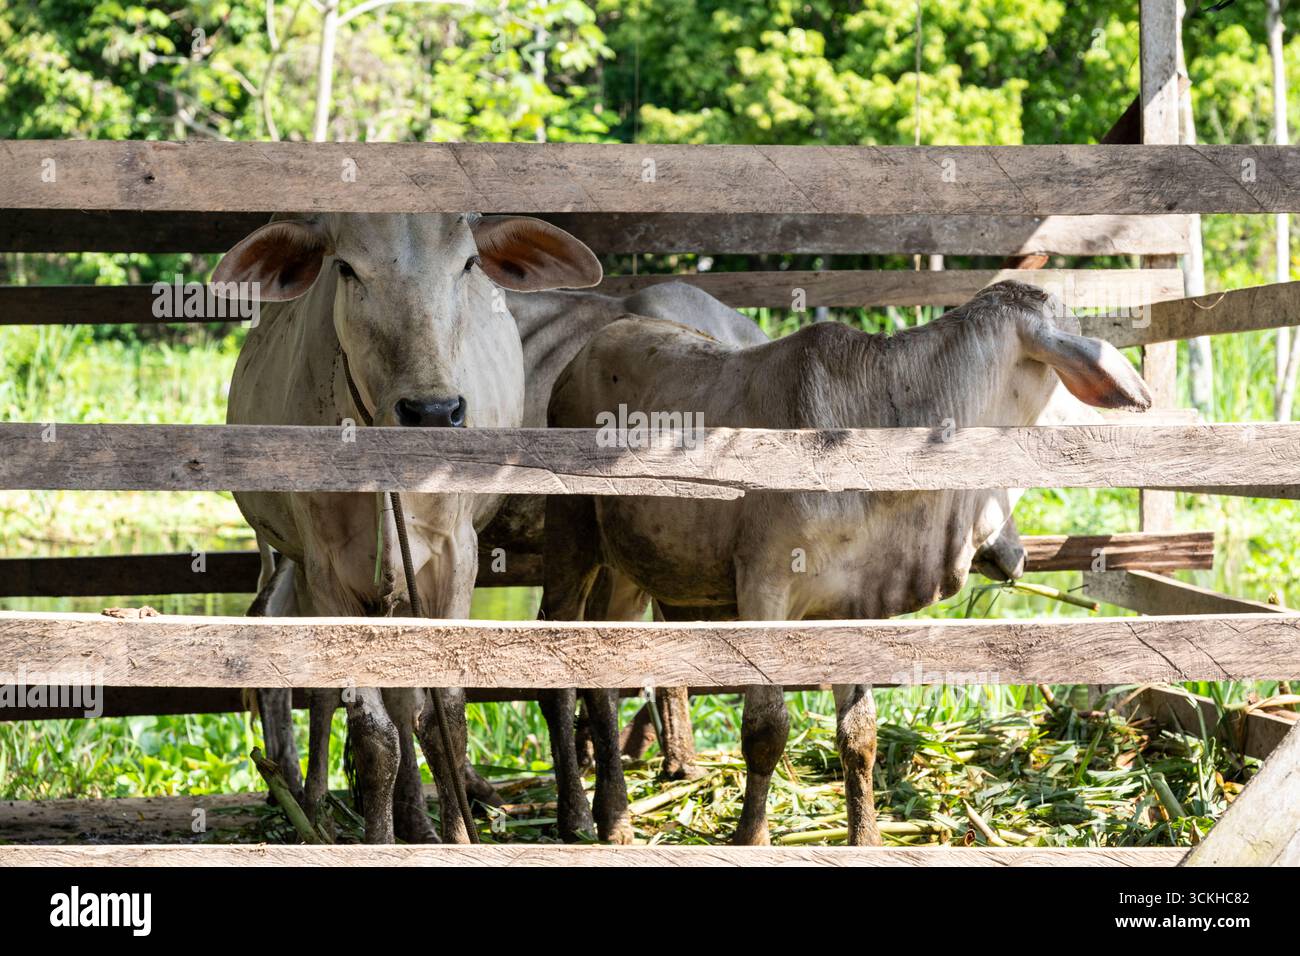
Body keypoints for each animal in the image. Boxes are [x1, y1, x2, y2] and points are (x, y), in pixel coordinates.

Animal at [539, 280, 1152, 845]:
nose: (1016, 556)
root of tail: (589, 349)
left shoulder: (854, 602)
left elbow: (859, 735)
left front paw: (866, 839)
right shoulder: (763, 587)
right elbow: (766, 729)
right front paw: (751, 837)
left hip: (628, 568)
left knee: (603, 677)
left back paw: (613, 815)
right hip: (569, 535)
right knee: (555, 673)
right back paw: (579, 817)